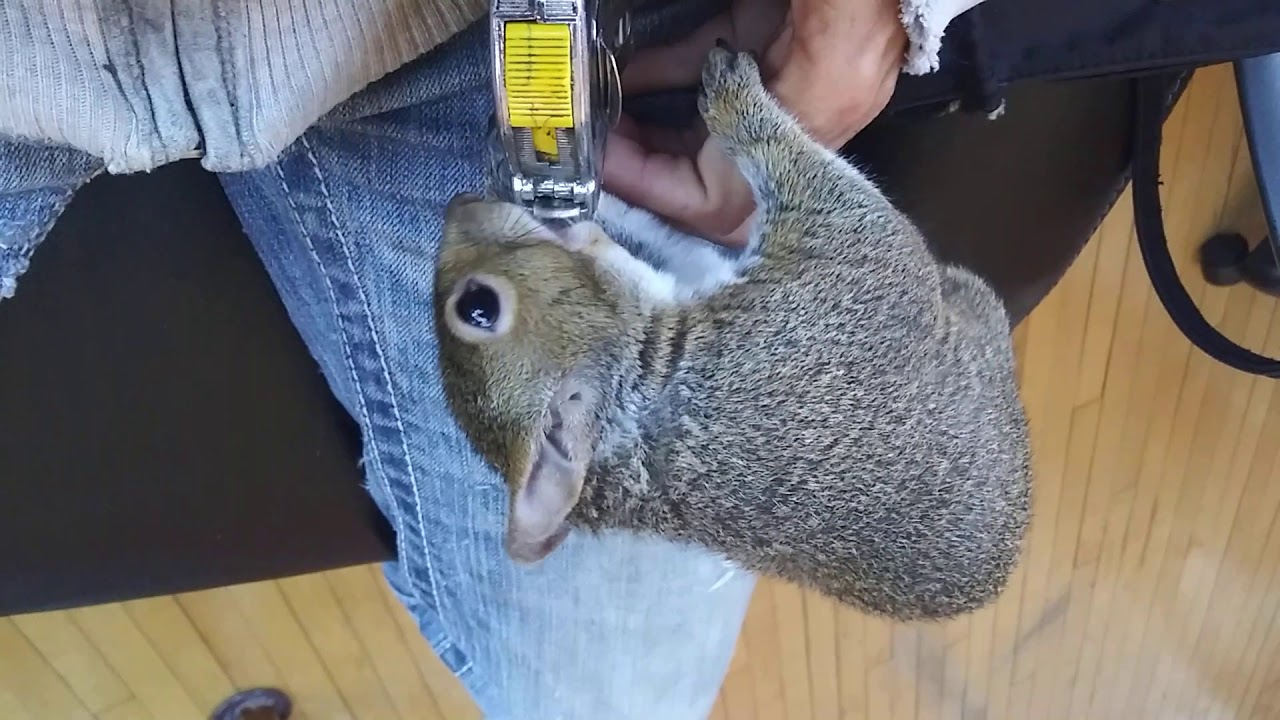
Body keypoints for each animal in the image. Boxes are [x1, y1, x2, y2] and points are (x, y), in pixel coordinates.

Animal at [434, 44, 1032, 622]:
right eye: (477, 307)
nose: (457, 203)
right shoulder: (836, 272)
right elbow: (815, 177)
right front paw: (734, 94)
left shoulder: (694, 274)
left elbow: (657, 238)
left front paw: (598, 204)